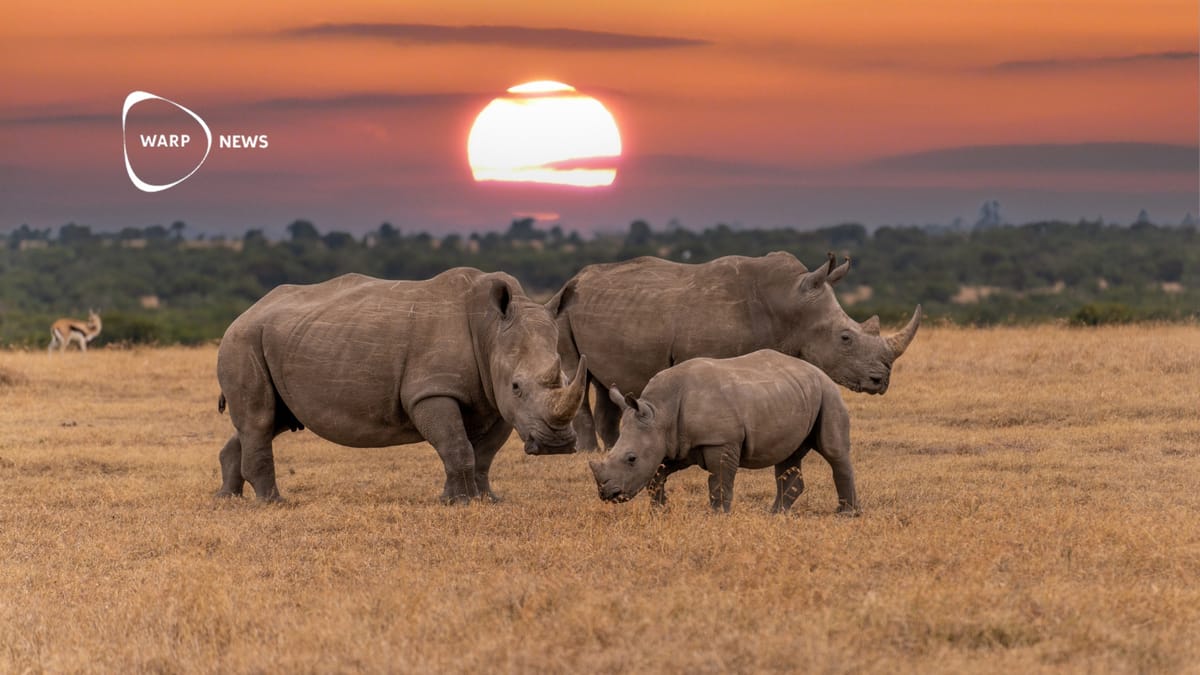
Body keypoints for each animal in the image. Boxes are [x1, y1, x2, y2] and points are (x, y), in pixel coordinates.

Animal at [215, 269, 587, 503]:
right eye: (516, 386)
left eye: (568, 379)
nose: (557, 445)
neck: (491, 331)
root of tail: (248, 311)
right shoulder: (432, 391)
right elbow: (456, 446)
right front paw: (460, 502)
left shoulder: (494, 400)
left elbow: (484, 455)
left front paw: (485, 499)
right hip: (242, 339)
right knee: (260, 419)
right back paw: (273, 502)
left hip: (278, 338)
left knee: (270, 421)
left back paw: (228, 498)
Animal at [548, 252, 920, 451]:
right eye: (845, 338)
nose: (881, 381)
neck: (790, 304)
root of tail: (574, 279)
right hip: (563, 310)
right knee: (578, 372)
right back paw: (586, 453)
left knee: (604, 379)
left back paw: (613, 447)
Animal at [589, 349, 857, 514]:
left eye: (631, 459)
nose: (607, 494)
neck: (660, 411)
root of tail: (817, 370)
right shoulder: (674, 443)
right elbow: (657, 476)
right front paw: (660, 511)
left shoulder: (720, 441)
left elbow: (719, 481)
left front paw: (718, 515)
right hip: (793, 393)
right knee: (787, 456)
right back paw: (775, 514)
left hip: (828, 392)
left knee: (834, 452)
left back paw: (846, 514)